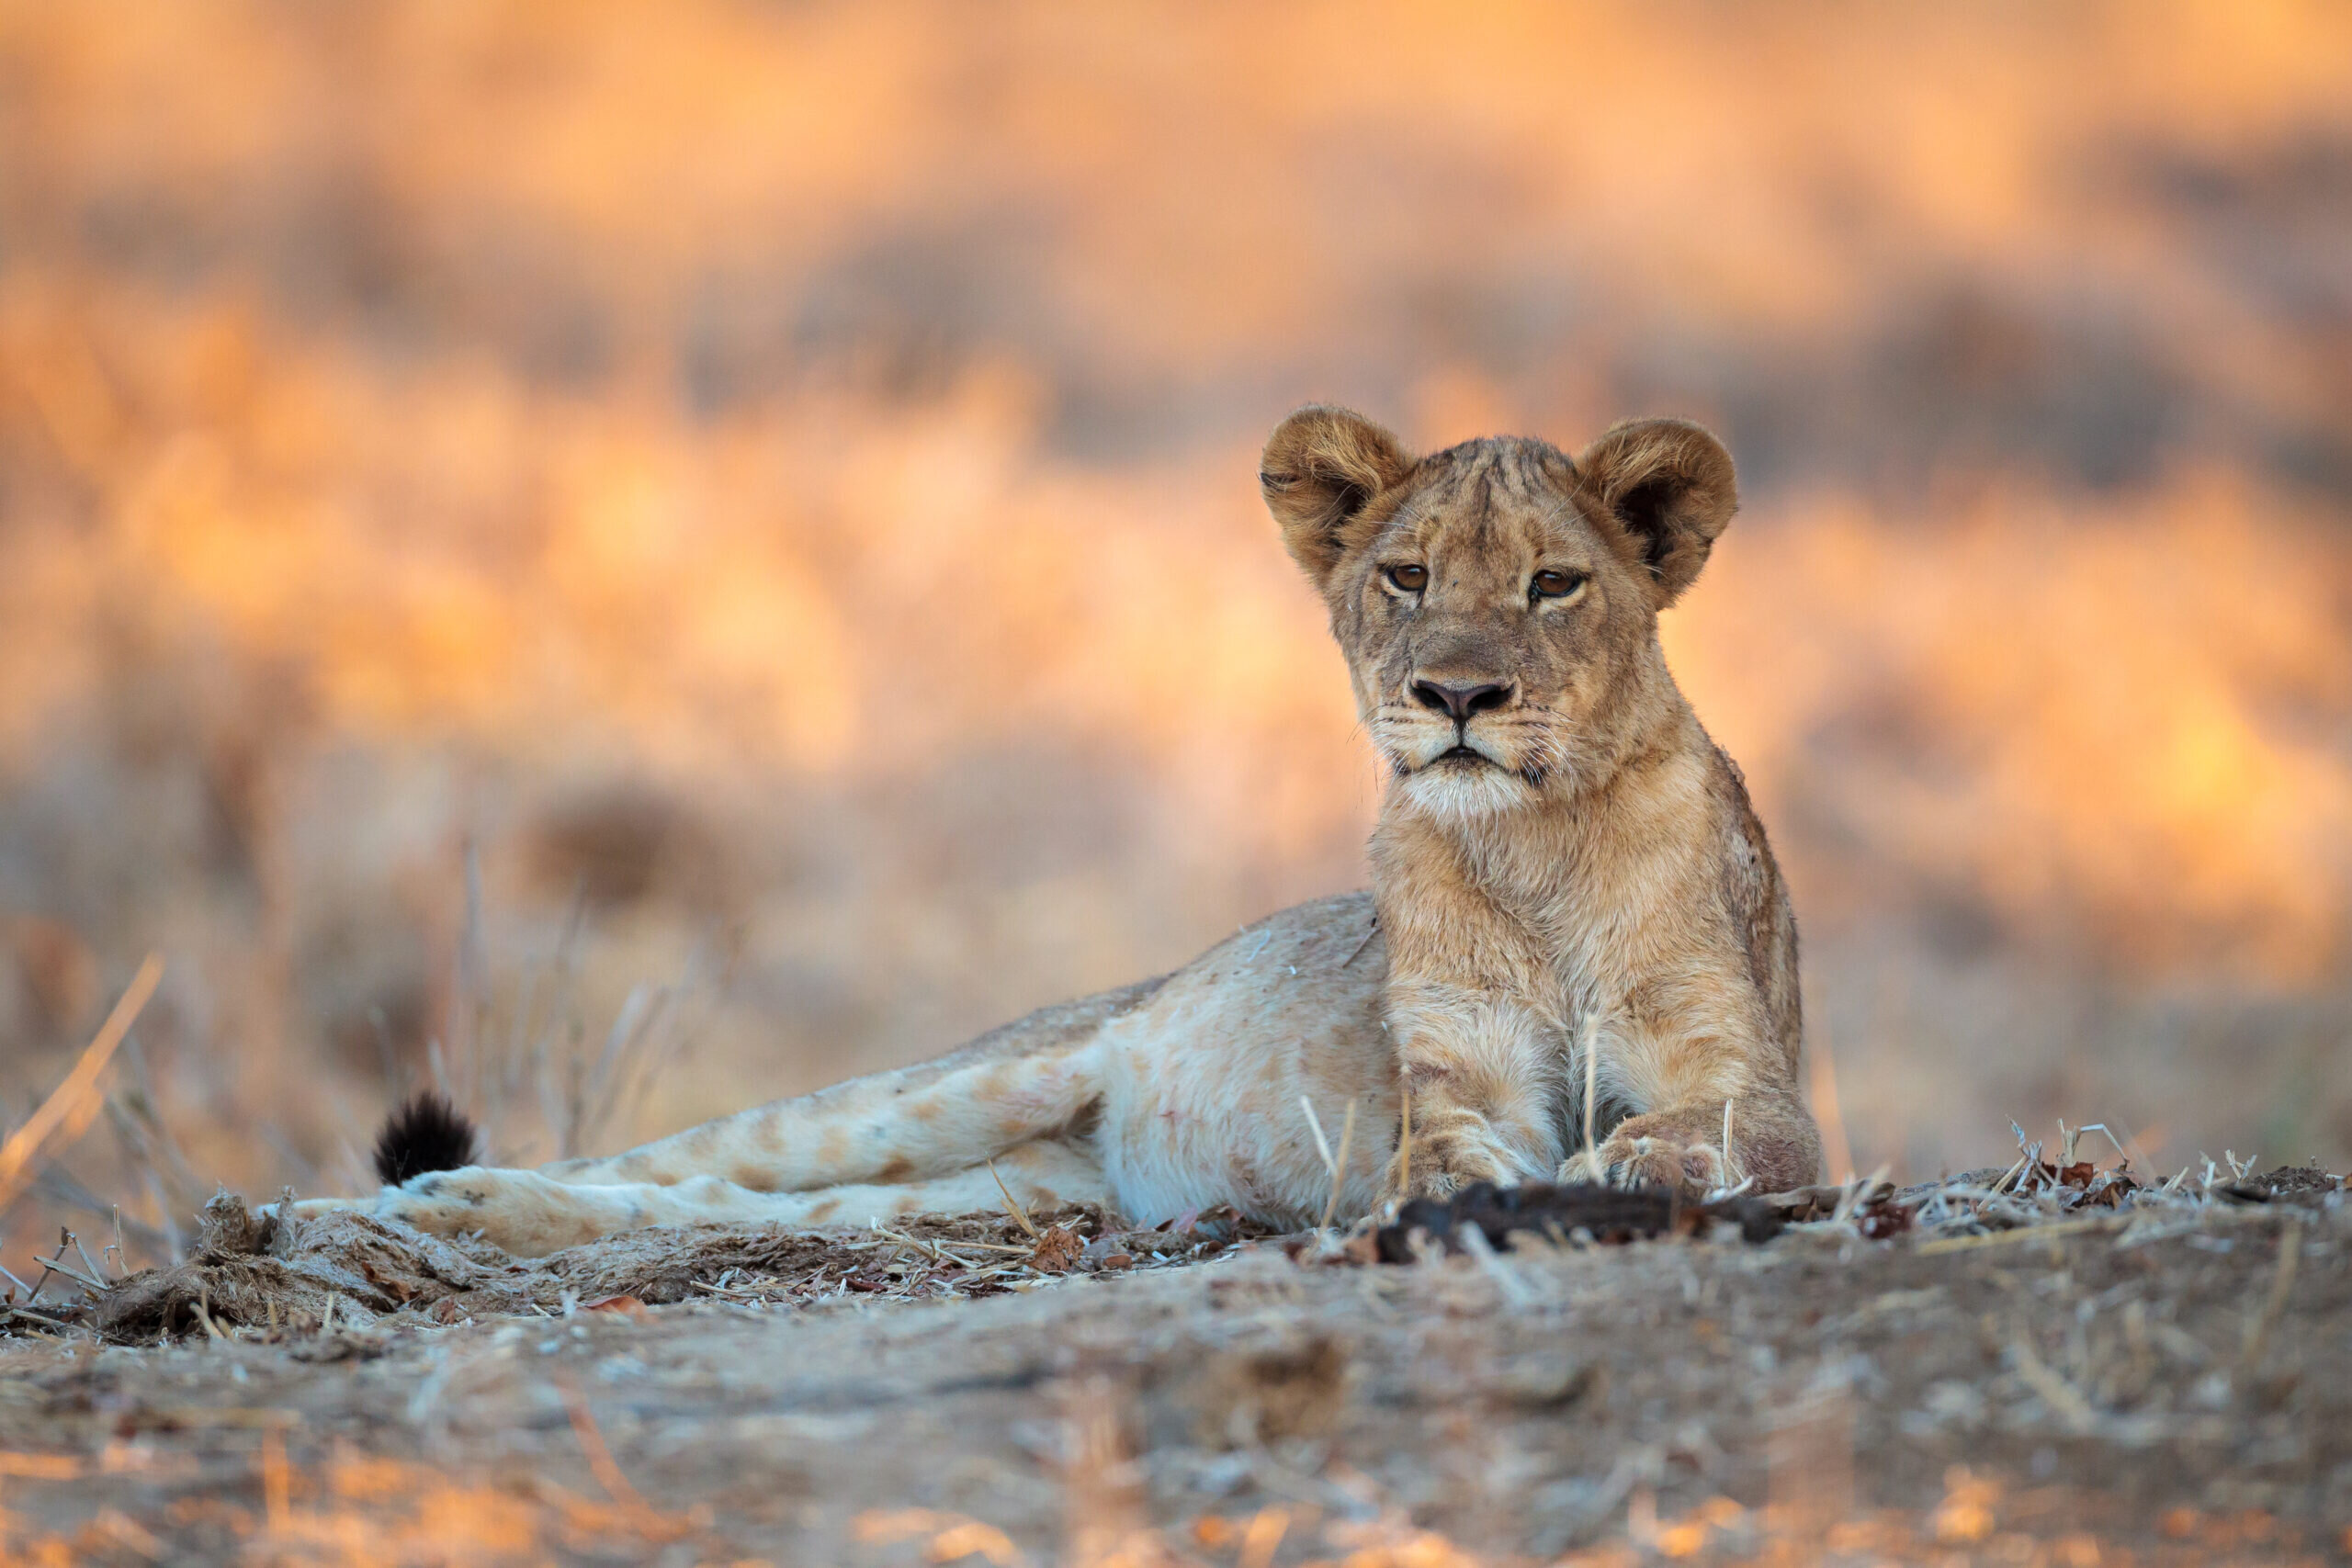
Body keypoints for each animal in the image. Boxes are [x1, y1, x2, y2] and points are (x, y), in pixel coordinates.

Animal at [306, 408, 1821, 1256]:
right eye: (1406, 574)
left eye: (1555, 584)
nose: (1456, 696)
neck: (1530, 843)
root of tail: (1101, 1148)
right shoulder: (1459, 1084)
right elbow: (1447, 1158)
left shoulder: (1760, 1082)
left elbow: (1703, 1129)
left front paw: (1617, 1163)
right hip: (948, 1085)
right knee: (653, 1164)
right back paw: (365, 1211)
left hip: (990, 1195)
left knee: (719, 1208)